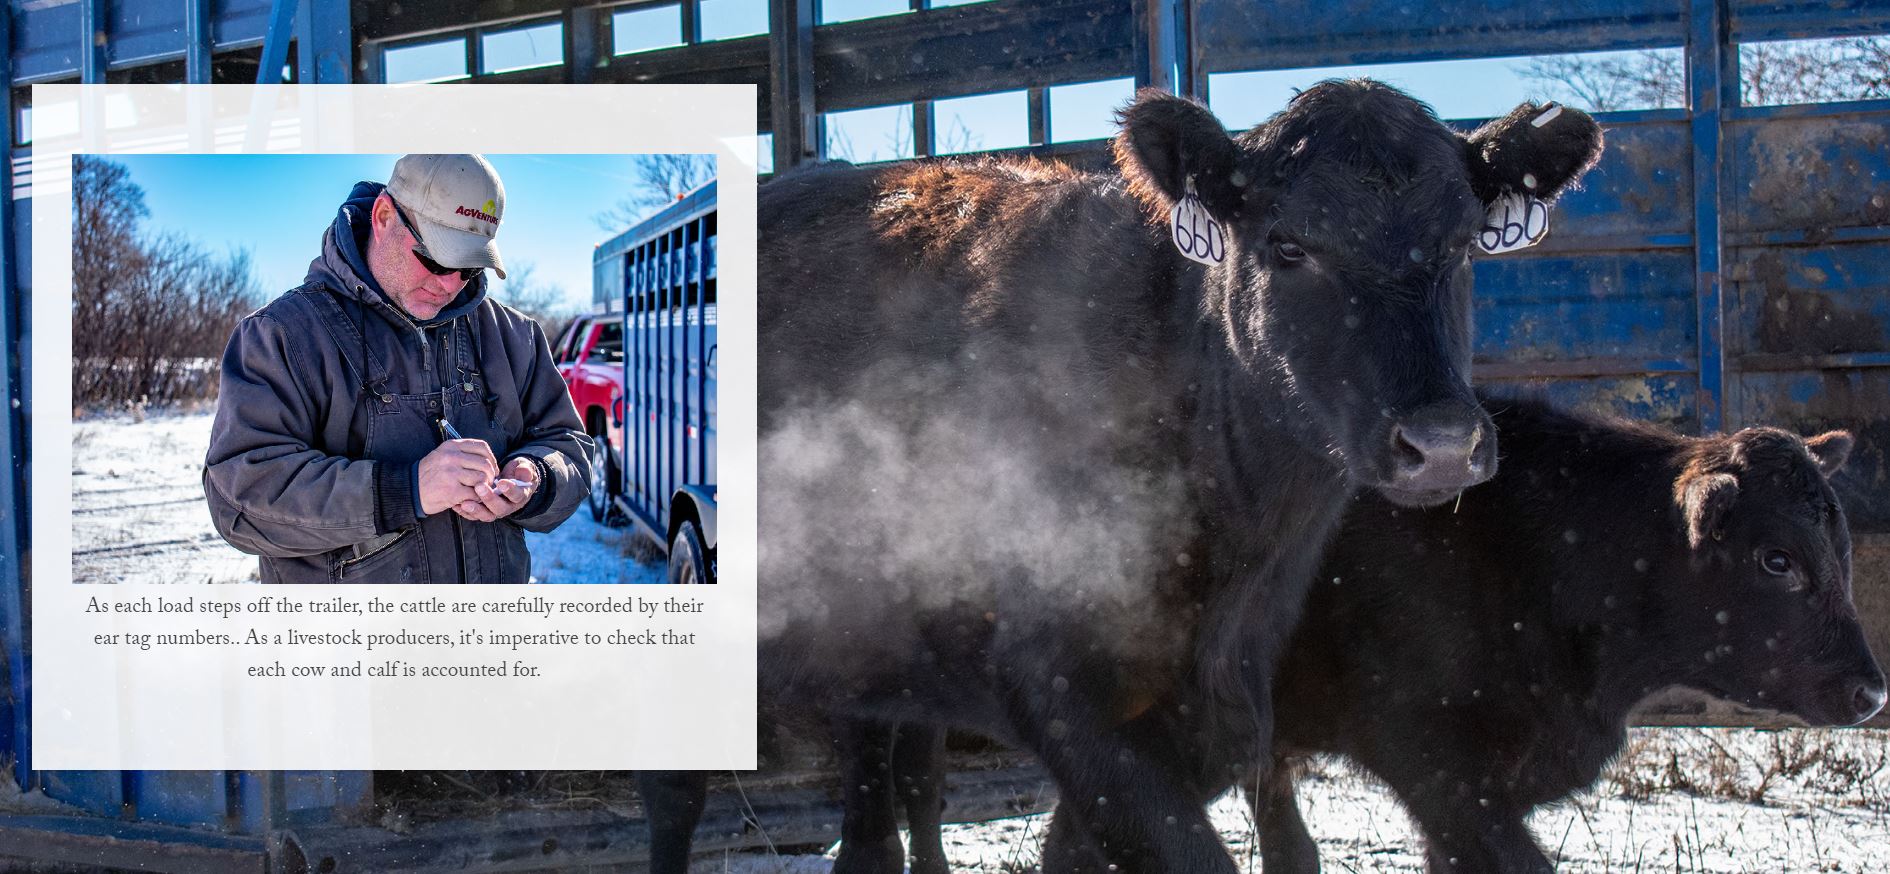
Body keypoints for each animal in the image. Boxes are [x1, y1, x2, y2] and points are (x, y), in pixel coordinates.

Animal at [642, 81, 1603, 874]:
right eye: (1288, 246)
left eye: (1462, 246)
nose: (1440, 443)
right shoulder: (1062, 688)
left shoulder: (1218, 707)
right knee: (680, 788)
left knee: (884, 796)